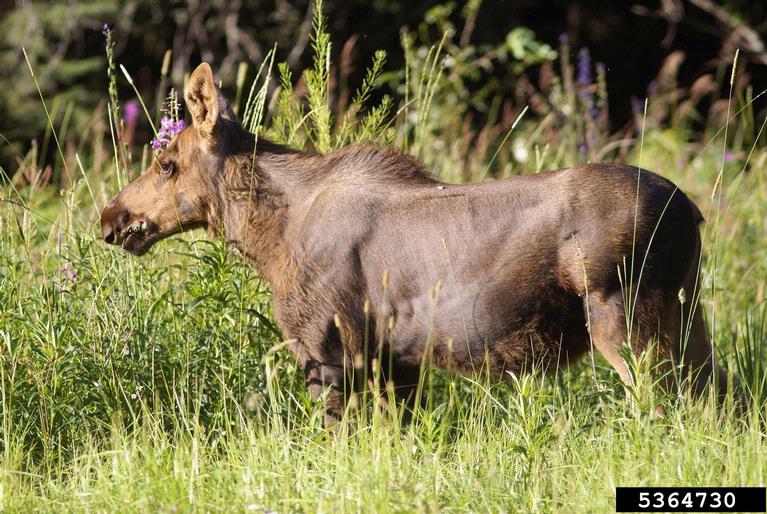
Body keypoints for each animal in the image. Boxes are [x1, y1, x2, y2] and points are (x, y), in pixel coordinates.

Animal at [101, 63, 728, 425]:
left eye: (166, 162)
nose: (112, 217)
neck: (265, 239)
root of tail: (692, 213)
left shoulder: (329, 349)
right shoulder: (393, 362)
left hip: (625, 315)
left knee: (667, 407)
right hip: (686, 314)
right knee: (717, 399)